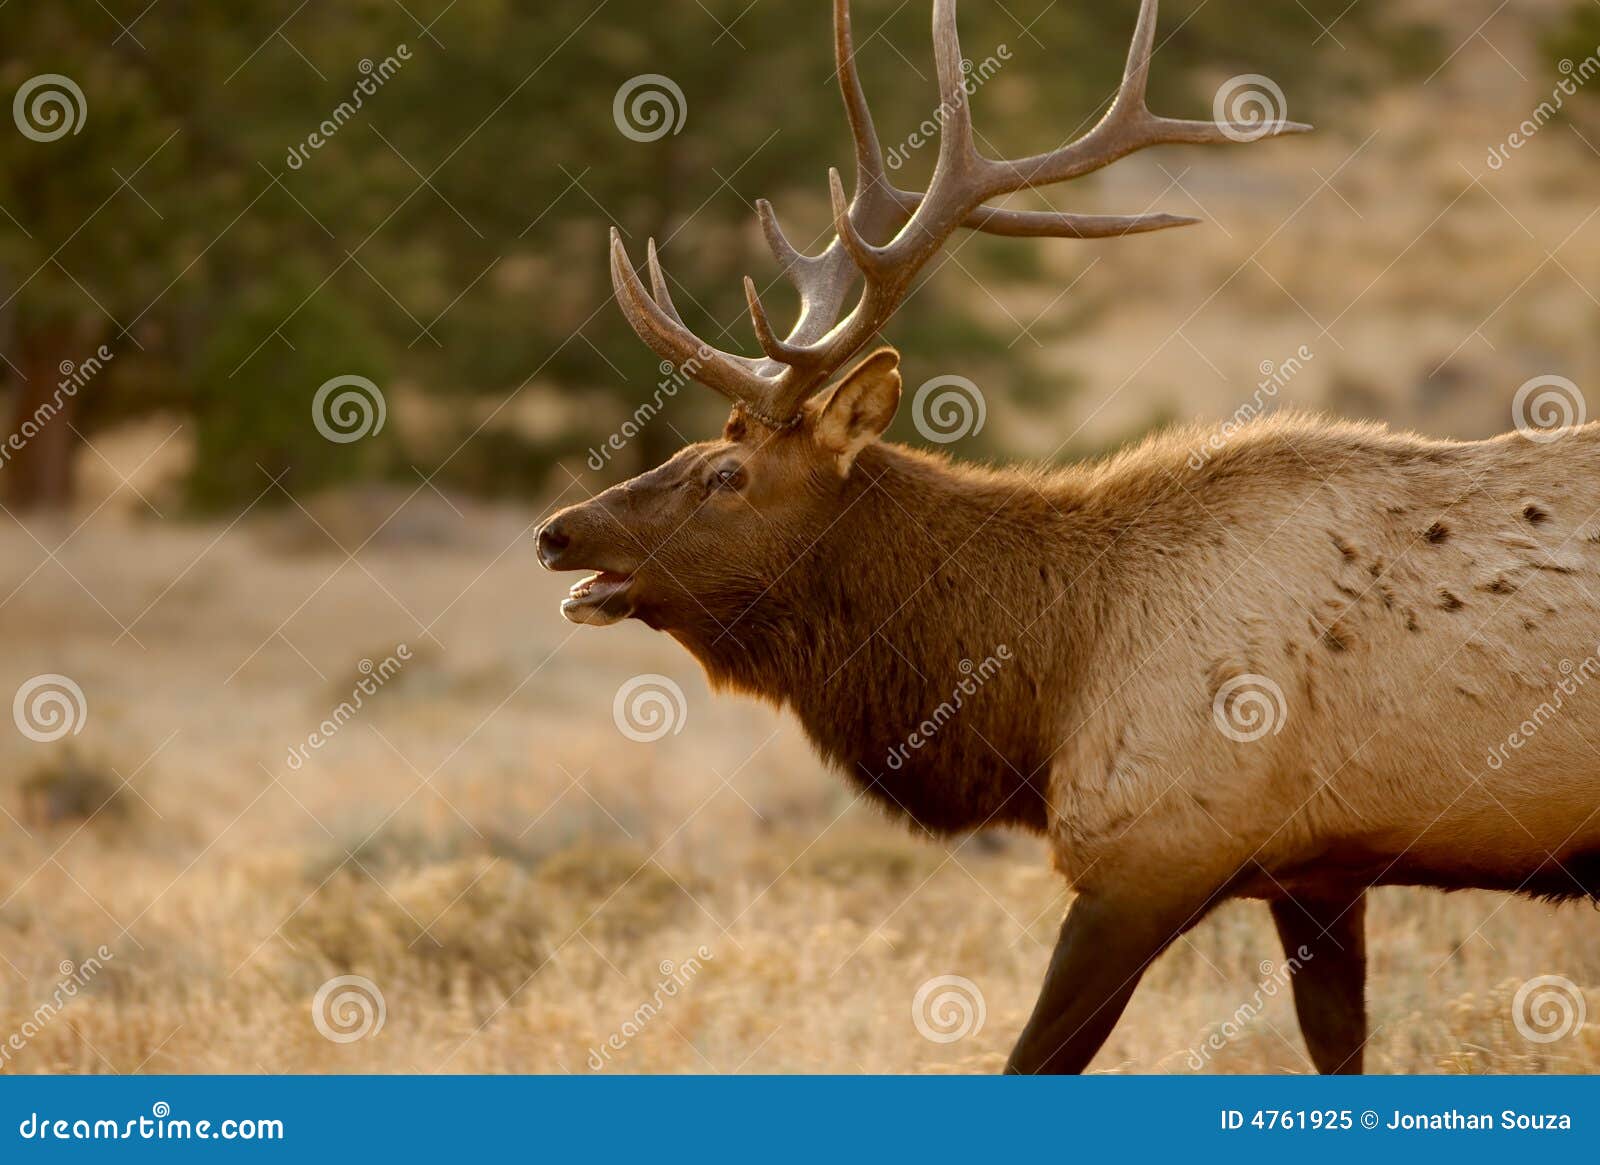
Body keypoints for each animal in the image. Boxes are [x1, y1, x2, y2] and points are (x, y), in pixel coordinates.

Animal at [537, 0, 1600, 1074]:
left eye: (726, 474)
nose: (557, 533)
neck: (1051, 686)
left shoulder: (1152, 851)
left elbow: (1030, 1058)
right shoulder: (1321, 872)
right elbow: (1338, 1048)